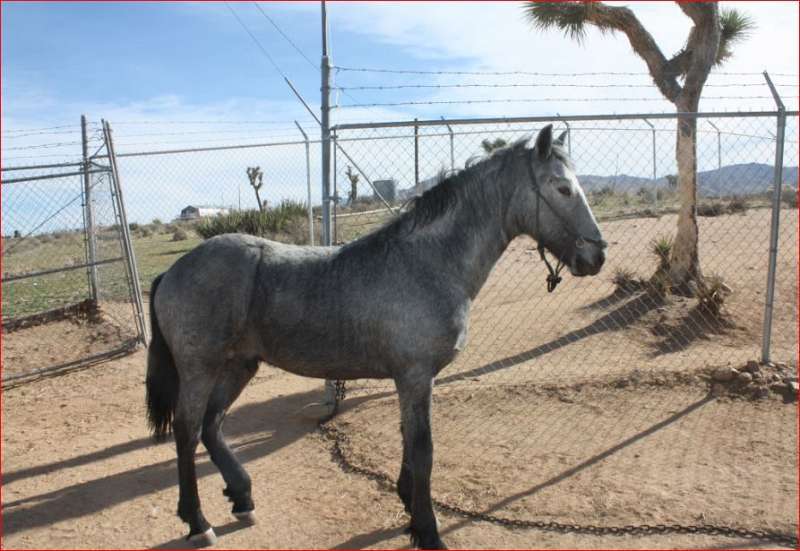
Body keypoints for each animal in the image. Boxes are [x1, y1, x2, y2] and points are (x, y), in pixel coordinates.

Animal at [145, 124, 607, 549]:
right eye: (563, 188)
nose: (596, 255)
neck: (427, 263)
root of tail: (174, 270)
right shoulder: (416, 376)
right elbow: (423, 450)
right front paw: (427, 530)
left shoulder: (412, 380)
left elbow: (409, 441)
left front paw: (408, 505)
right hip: (200, 368)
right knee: (188, 431)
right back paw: (198, 521)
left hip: (239, 365)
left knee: (212, 424)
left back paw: (241, 497)